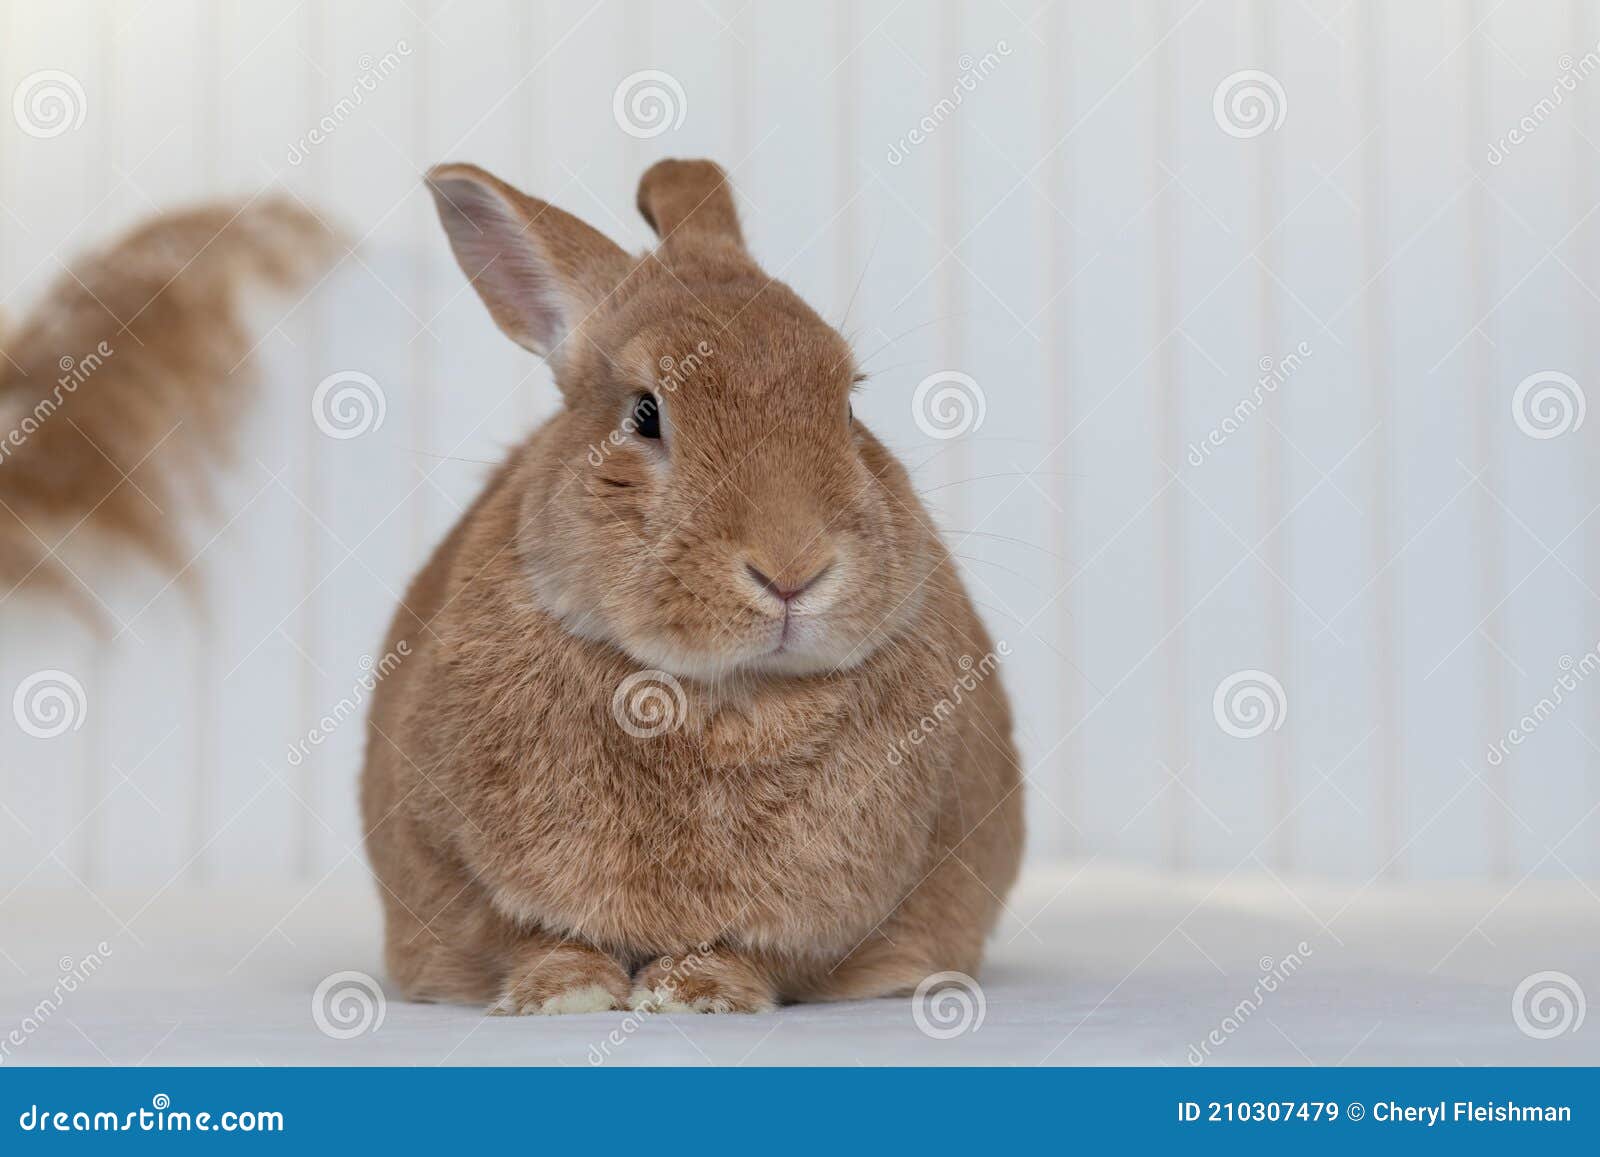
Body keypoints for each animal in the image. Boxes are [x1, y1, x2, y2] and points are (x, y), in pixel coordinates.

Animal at [360, 158, 1023, 1015]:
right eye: (646, 413)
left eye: (847, 405)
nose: (792, 567)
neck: (709, 693)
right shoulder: (450, 870)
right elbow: (528, 934)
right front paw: (566, 993)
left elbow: (763, 952)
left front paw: (697, 992)